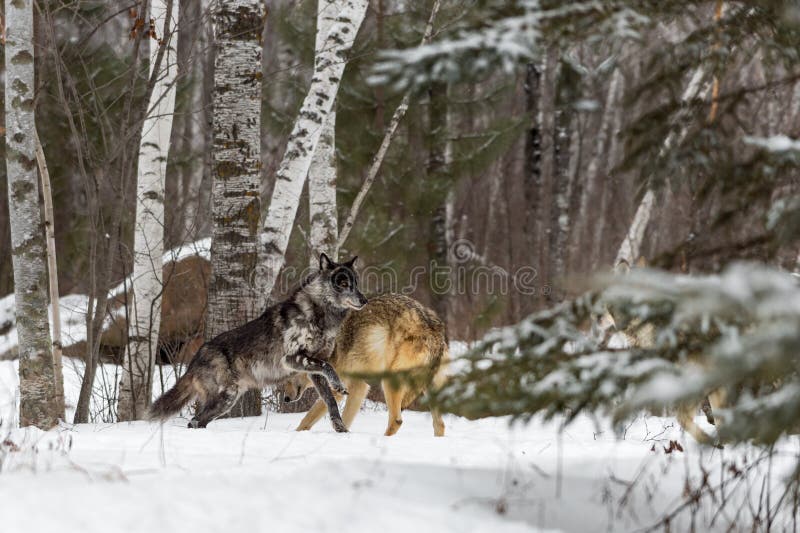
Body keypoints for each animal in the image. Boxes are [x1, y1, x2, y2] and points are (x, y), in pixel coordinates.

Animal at [148, 253, 368, 432]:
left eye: (356, 283)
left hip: (226, 401)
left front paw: (341, 429)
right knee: (194, 421)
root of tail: (193, 361)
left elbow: (330, 401)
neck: (320, 314)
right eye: (342, 283)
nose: (364, 300)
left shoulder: (313, 370)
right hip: (227, 396)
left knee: (197, 421)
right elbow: (328, 367)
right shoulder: (292, 358)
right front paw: (339, 385)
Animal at [283, 294, 449, 437]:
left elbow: (307, 418)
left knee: (396, 420)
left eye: (287, 376)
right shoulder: (359, 387)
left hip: (390, 382)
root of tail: (432, 328)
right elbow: (345, 419)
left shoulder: (339, 387)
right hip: (429, 388)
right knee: (440, 424)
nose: (285, 399)